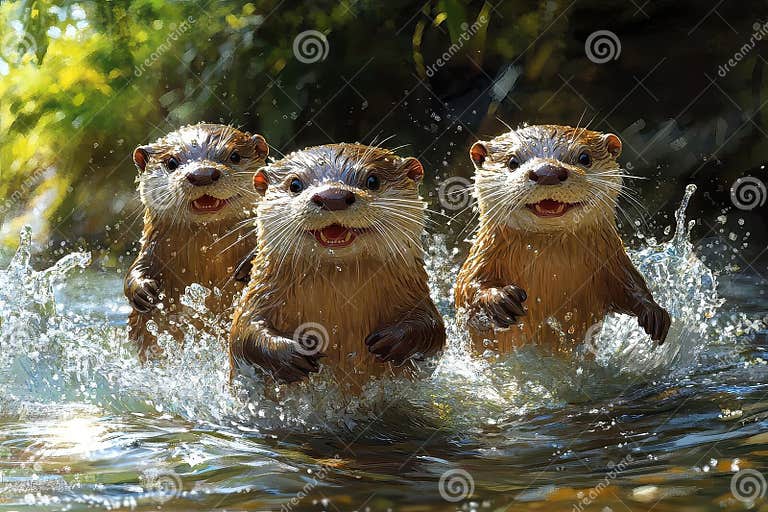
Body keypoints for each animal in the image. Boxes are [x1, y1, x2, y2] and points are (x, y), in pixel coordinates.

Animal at [125, 123, 269, 359]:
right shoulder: (152, 250)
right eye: (171, 162)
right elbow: (136, 269)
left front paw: (248, 266)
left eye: (235, 156)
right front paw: (143, 290)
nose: (202, 174)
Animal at [229, 143, 445, 391]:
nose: (333, 196)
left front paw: (394, 341)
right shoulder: (259, 296)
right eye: (295, 184)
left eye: (373, 180)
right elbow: (242, 333)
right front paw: (291, 355)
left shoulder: (418, 296)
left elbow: (433, 329)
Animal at [455, 124, 671, 354]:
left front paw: (653, 312)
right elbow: (466, 293)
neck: (549, 268)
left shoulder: (613, 262)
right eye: (512, 162)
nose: (547, 172)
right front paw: (500, 299)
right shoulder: (478, 263)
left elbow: (630, 285)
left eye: (584, 157)